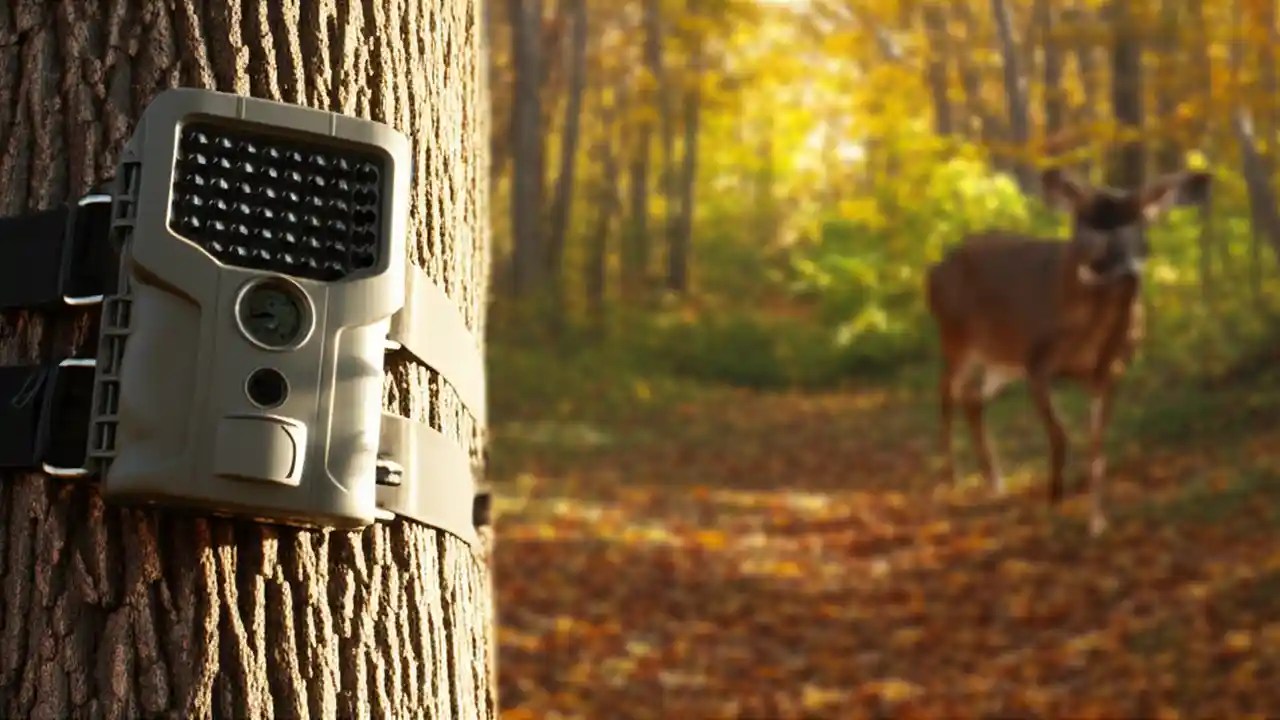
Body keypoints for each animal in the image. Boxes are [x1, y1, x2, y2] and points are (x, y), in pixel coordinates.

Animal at [925, 166, 1211, 536]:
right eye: (1084, 222)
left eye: (1135, 223)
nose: (1109, 266)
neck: (1093, 334)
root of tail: (934, 268)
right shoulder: (1037, 361)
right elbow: (1060, 435)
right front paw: (1055, 502)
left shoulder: (1110, 371)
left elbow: (1097, 445)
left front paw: (1097, 521)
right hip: (956, 336)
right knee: (946, 394)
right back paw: (952, 480)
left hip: (1002, 358)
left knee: (973, 398)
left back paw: (995, 481)